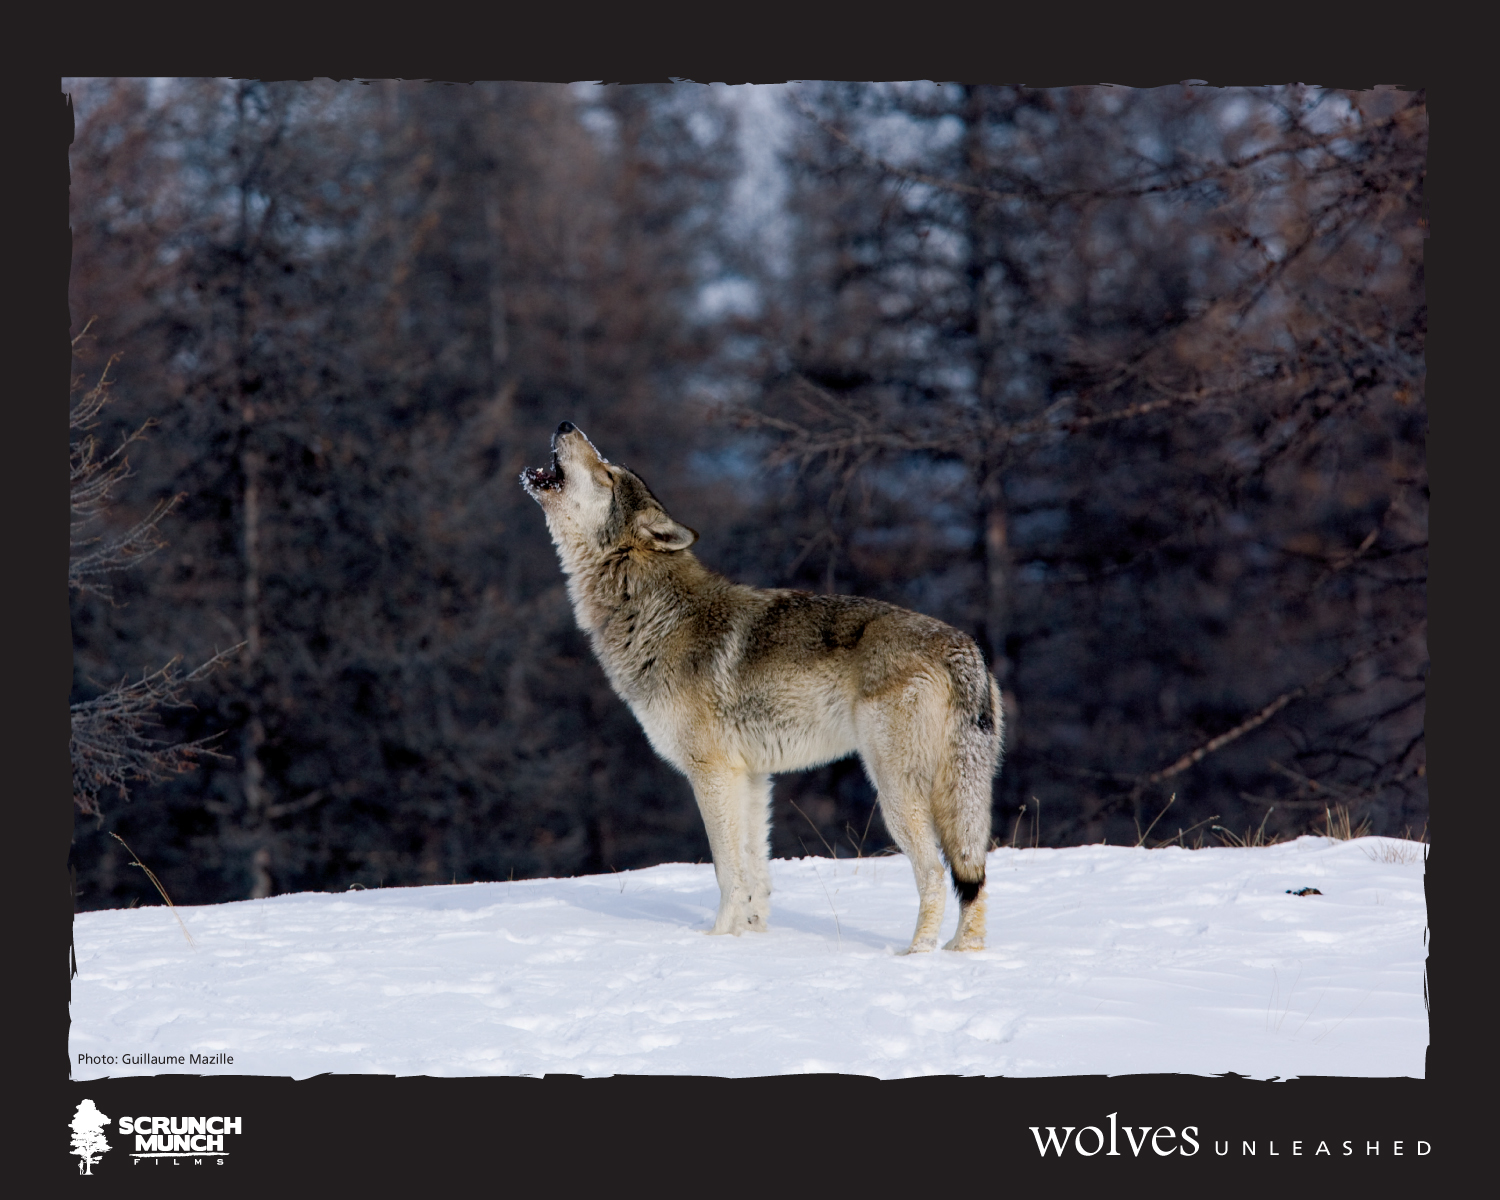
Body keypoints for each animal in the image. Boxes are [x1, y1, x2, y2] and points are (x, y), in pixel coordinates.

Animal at [522, 422, 1002, 952]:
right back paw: (963, 953)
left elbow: (727, 871)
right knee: (975, 878)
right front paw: (748, 940)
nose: (567, 425)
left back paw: (914, 955)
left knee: (935, 873)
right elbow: (754, 875)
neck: (651, 610)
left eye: (607, 473)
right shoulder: (751, 778)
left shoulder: (712, 774)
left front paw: (714, 941)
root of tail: (962, 646)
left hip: (895, 794)